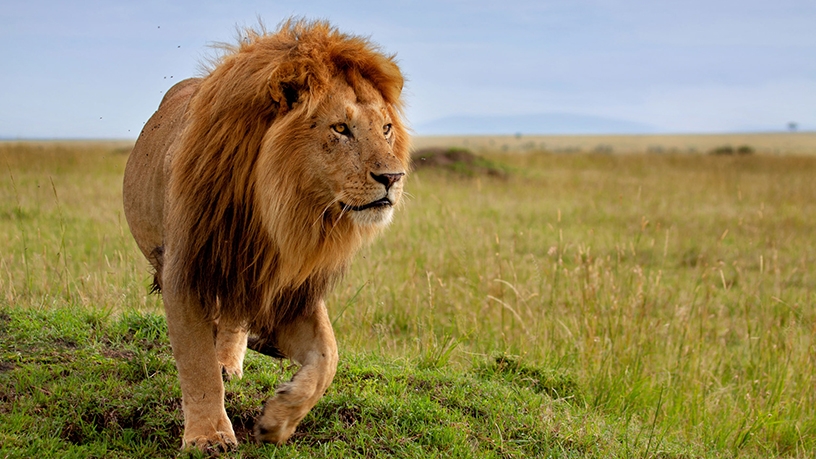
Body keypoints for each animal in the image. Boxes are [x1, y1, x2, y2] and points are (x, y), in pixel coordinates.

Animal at [122, 20, 409, 451]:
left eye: (387, 129)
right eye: (341, 128)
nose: (392, 178)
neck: (279, 212)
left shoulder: (290, 288)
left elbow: (328, 356)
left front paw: (278, 419)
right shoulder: (186, 271)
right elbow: (196, 363)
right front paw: (209, 436)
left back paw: (235, 359)